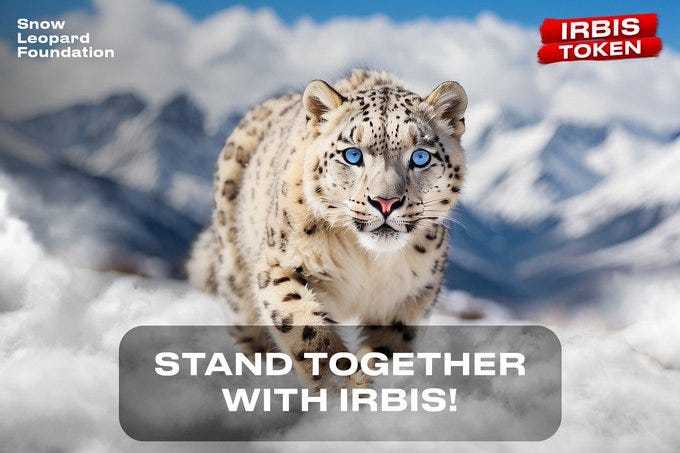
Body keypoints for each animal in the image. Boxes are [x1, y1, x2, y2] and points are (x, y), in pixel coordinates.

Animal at [187, 69, 467, 391]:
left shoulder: (411, 295)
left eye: (420, 156)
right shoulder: (279, 264)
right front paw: (340, 386)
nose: (385, 202)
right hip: (235, 276)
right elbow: (307, 329)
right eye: (353, 155)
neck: (368, 261)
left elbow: (387, 349)